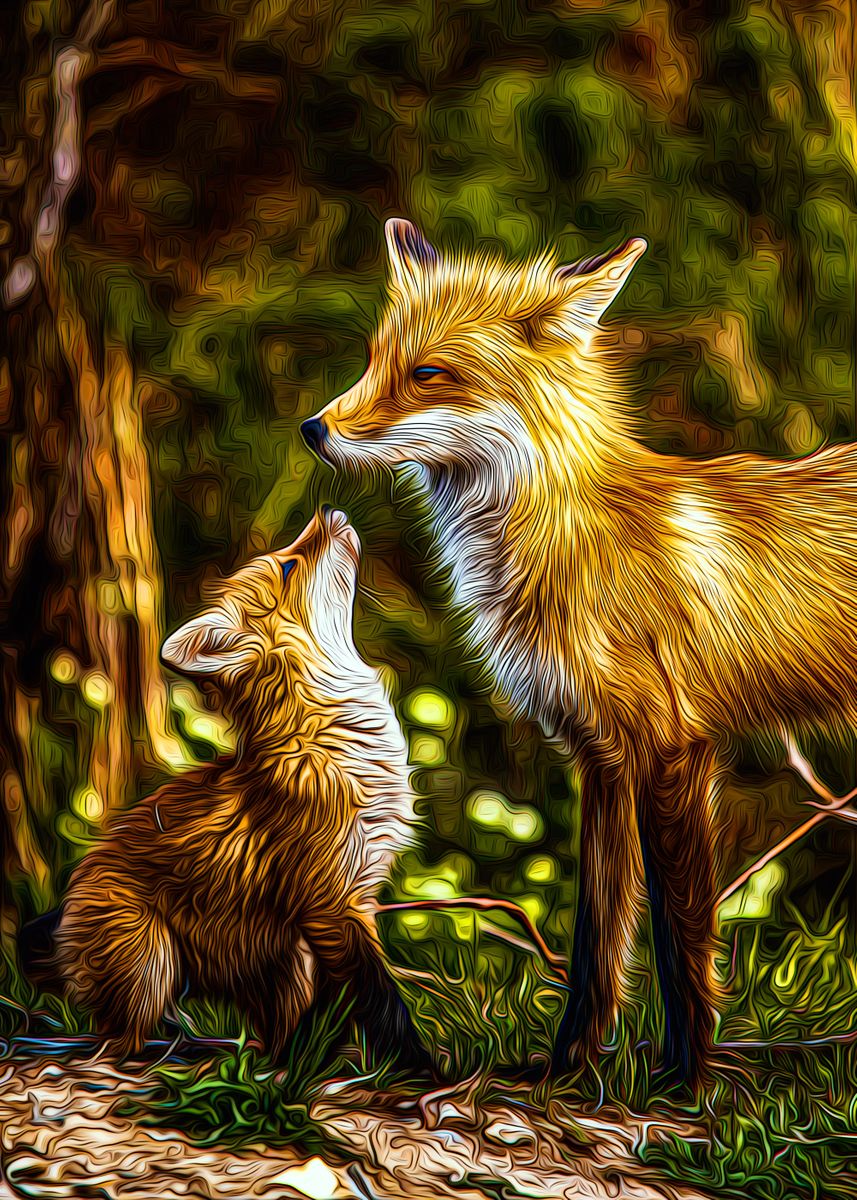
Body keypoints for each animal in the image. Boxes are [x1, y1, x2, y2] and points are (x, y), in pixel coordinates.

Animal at [38, 508, 427, 1070]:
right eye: (287, 566)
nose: (328, 511)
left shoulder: (354, 899)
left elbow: (341, 1007)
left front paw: (322, 1065)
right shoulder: (333, 904)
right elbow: (381, 1001)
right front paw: (421, 1069)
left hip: (278, 964)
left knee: (265, 1032)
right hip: (151, 966)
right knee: (119, 1044)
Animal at [300, 218, 857, 1087]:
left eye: (427, 374)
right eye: (373, 362)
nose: (312, 428)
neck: (569, 545)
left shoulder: (672, 746)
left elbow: (678, 934)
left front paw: (685, 1083)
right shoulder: (598, 753)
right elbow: (599, 930)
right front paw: (565, 1071)